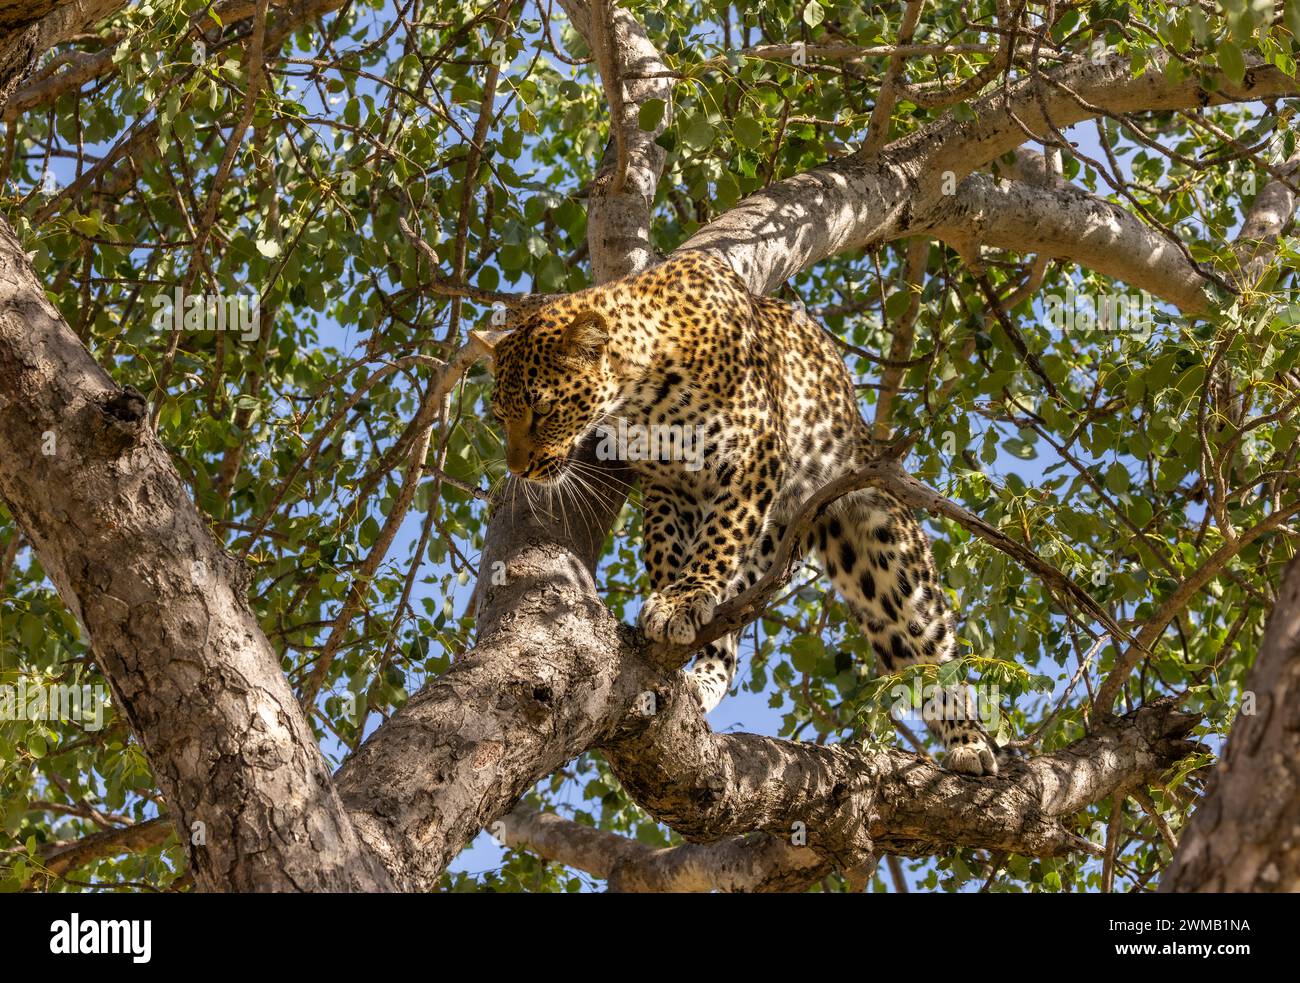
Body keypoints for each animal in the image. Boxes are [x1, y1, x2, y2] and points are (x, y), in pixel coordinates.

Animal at [476, 250, 1001, 775]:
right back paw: (702, 679)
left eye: (543, 410)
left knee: (933, 651)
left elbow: (717, 540)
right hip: (780, 544)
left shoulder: (754, 456)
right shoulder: (669, 487)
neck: (643, 392)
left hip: (886, 548)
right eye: (500, 416)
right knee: (735, 633)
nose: (519, 469)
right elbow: (669, 550)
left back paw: (971, 744)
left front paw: (679, 602)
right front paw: (671, 610)